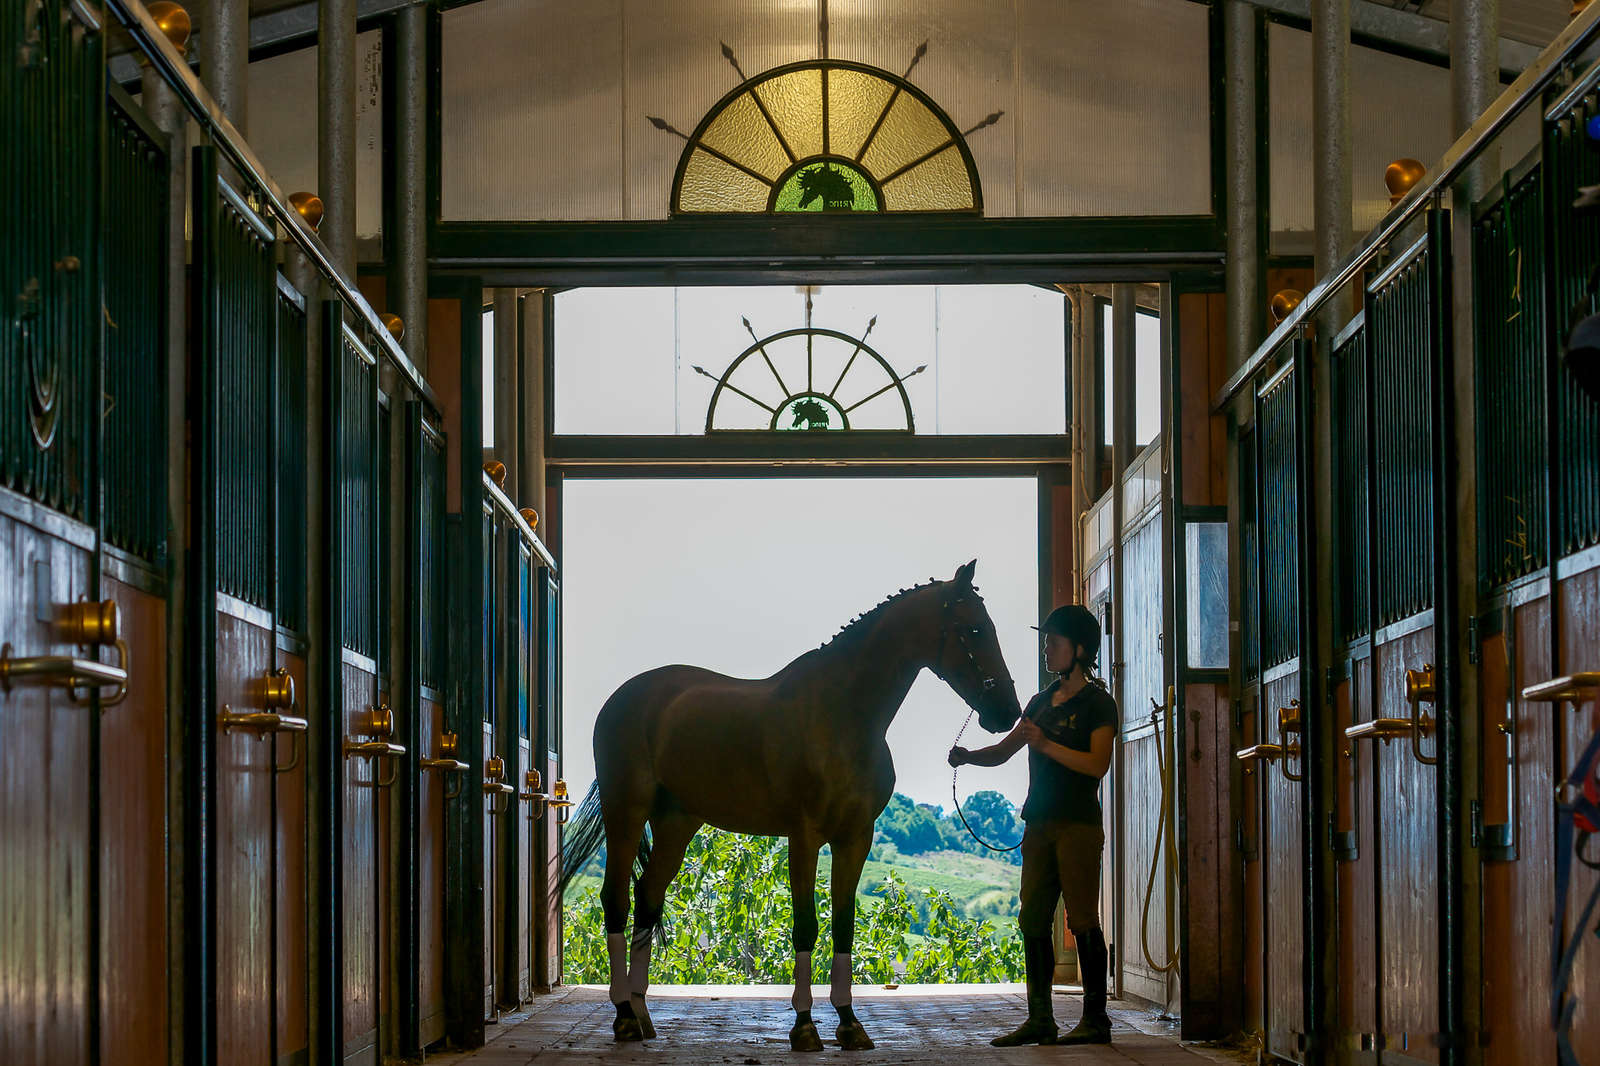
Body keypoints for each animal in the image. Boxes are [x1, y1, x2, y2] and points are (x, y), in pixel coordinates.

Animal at [560, 560, 1022, 1051]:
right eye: (974, 628)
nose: (1006, 713)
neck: (840, 715)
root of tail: (624, 697)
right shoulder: (805, 838)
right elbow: (807, 926)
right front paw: (804, 1026)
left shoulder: (855, 838)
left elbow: (843, 925)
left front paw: (849, 1022)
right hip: (626, 811)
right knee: (616, 899)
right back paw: (624, 1015)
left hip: (675, 823)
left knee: (648, 895)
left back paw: (642, 1013)